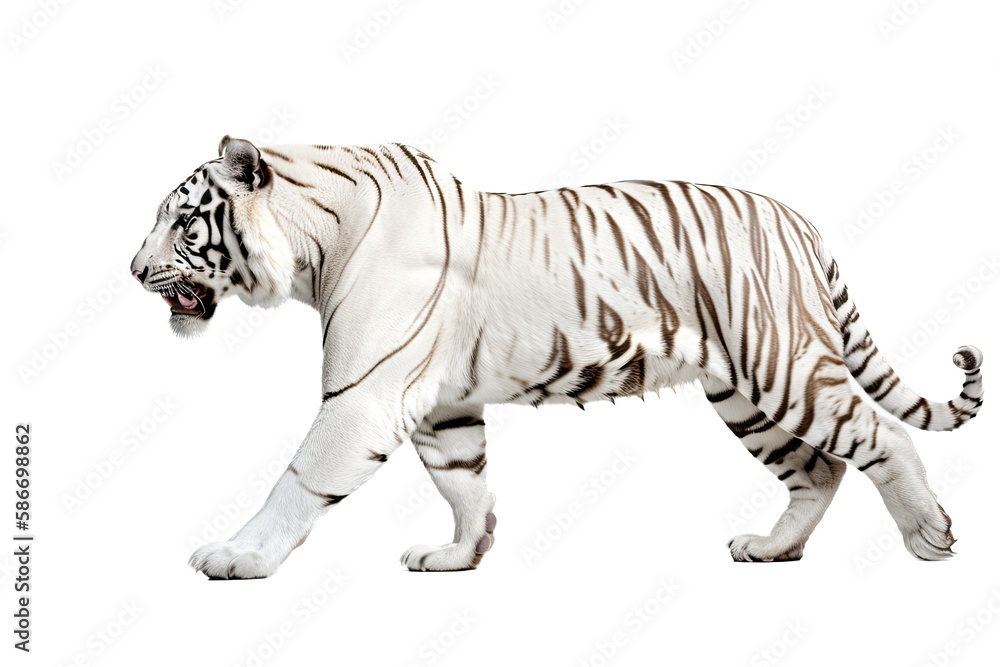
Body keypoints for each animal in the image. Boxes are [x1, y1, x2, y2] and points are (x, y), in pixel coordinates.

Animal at [130, 136, 984, 578]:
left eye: (181, 222)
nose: (134, 272)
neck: (315, 244)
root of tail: (799, 219)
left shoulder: (362, 395)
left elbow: (299, 479)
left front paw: (237, 554)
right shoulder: (442, 403)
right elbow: (464, 479)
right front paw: (460, 554)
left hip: (784, 365)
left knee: (881, 437)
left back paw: (931, 535)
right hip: (743, 393)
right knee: (818, 468)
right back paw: (774, 548)